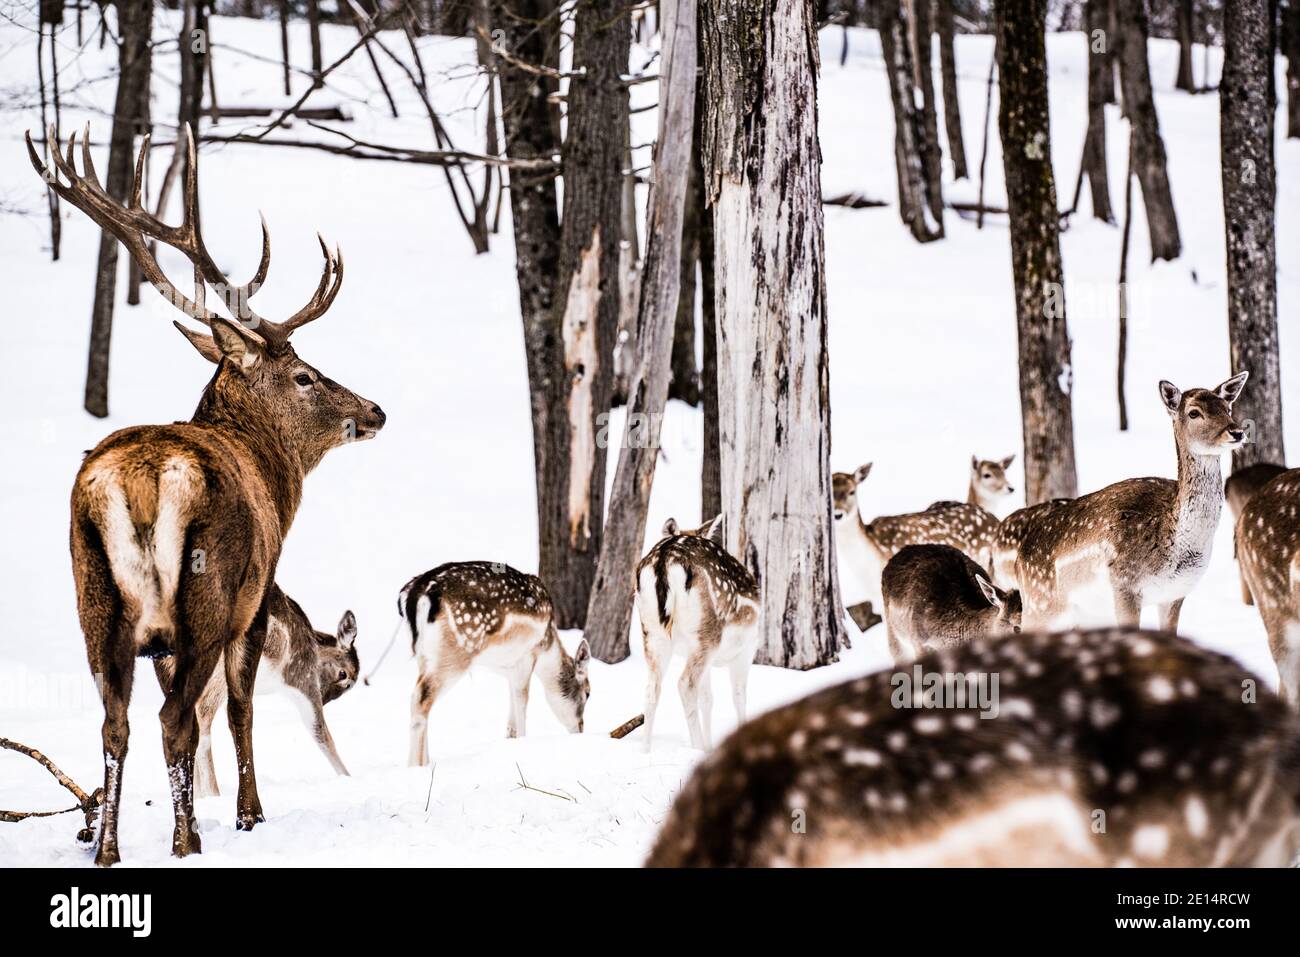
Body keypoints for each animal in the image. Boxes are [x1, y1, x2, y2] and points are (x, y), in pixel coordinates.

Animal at [179, 585, 359, 799]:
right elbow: (321, 731)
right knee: (203, 716)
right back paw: (214, 793)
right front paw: (348, 777)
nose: (324, 698)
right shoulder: (303, 679)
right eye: (343, 674)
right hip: (223, 673)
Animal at [401, 562, 590, 766]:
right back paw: (415, 765)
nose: (581, 729)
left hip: (423, 654)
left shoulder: (509, 668)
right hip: (456, 651)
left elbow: (512, 705)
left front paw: (510, 739)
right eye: (588, 693)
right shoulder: (526, 656)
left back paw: (427, 761)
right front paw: (523, 742)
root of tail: (416, 594)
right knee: (421, 697)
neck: (548, 648)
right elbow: (522, 699)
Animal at [634, 516, 760, 752]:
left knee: (651, 689)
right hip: (707, 633)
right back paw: (697, 748)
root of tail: (664, 560)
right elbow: (738, 695)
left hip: (652, 633)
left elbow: (708, 699)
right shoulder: (747, 648)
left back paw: (645, 751)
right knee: (685, 684)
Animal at [1015, 374, 1248, 634]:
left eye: (1228, 408)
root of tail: (1018, 560)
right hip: (1040, 603)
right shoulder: (1124, 584)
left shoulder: (1175, 593)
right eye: (1194, 413)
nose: (1237, 431)